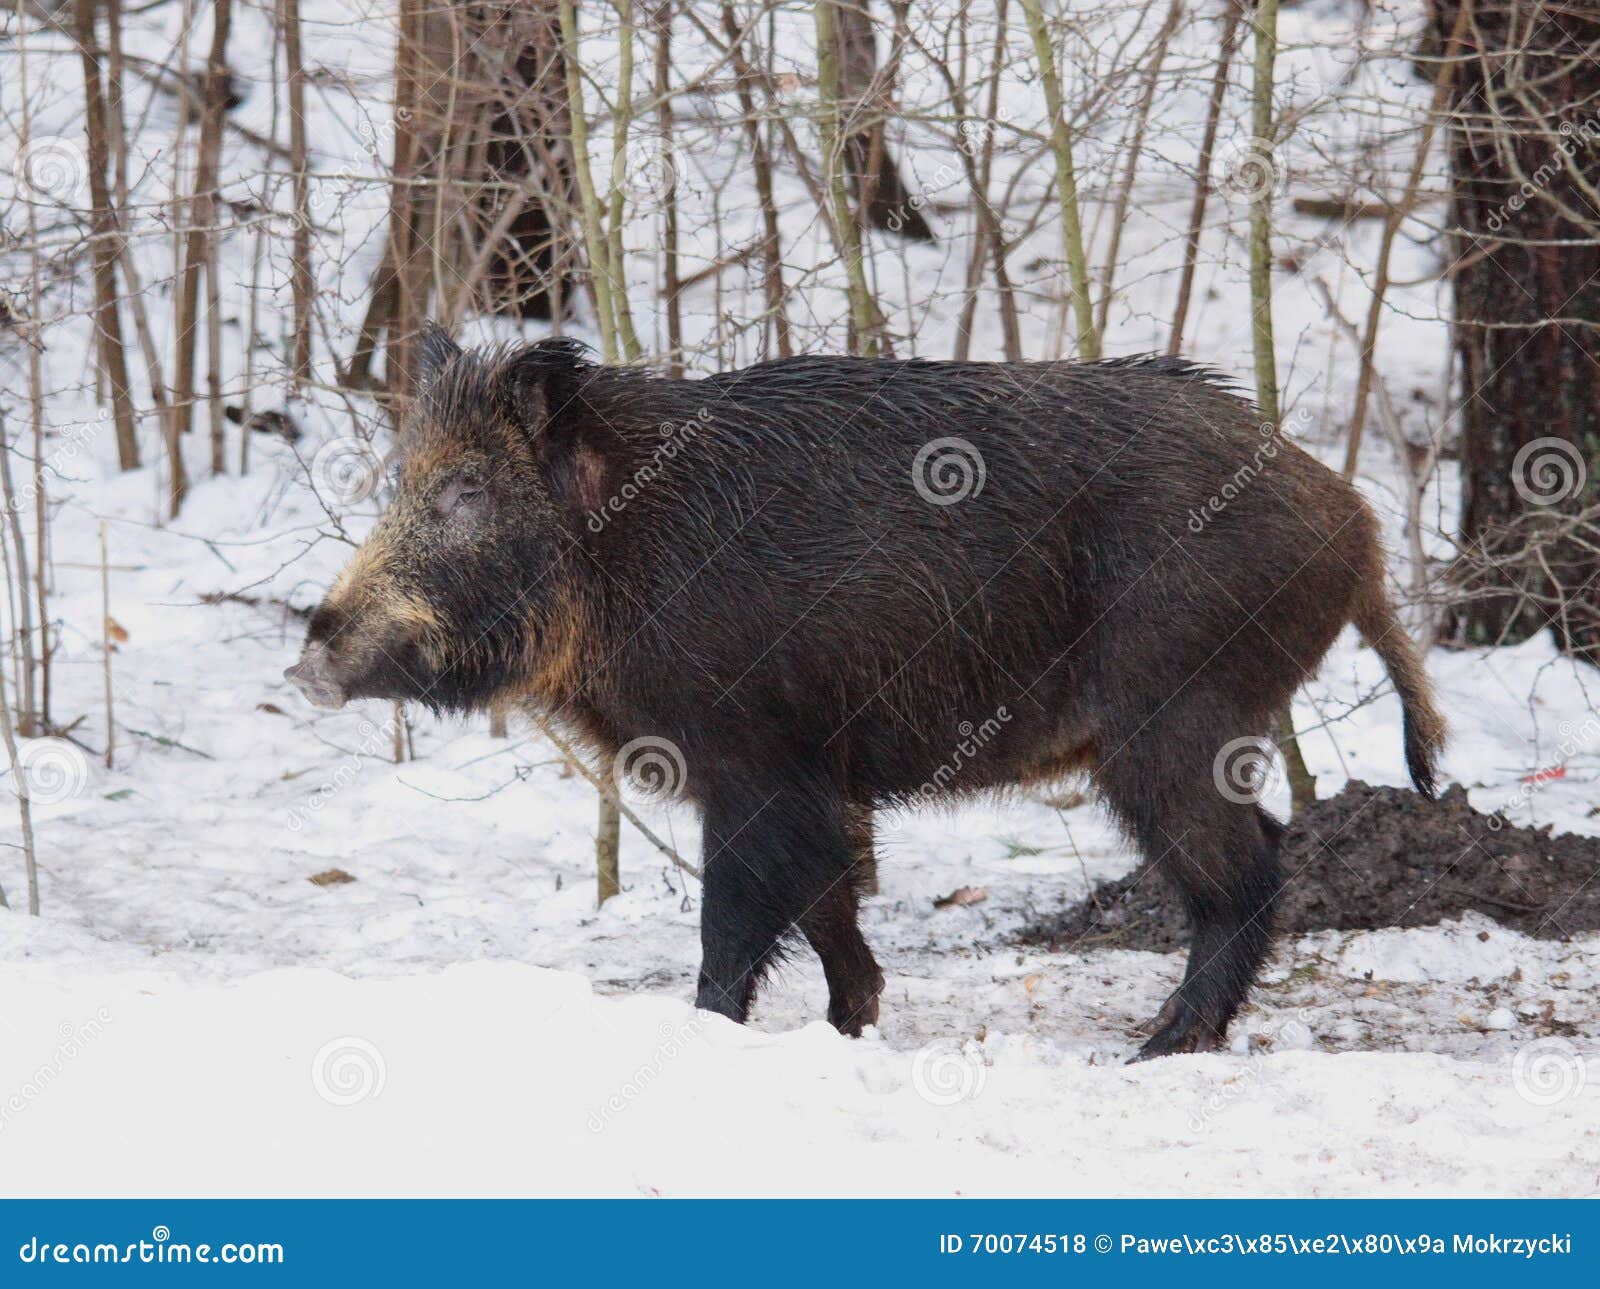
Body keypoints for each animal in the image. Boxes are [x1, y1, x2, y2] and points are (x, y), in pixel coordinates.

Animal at [286, 327, 1444, 1057]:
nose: (306, 658)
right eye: (405, 481)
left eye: (463, 492)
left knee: (1249, 869)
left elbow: (740, 915)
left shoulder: (750, 756)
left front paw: (712, 1034)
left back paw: (1155, 1048)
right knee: (1264, 848)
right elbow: (831, 896)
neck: (622, 548)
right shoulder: (814, 769)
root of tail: (1351, 519)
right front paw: (853, 1026)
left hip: (1170, 714)